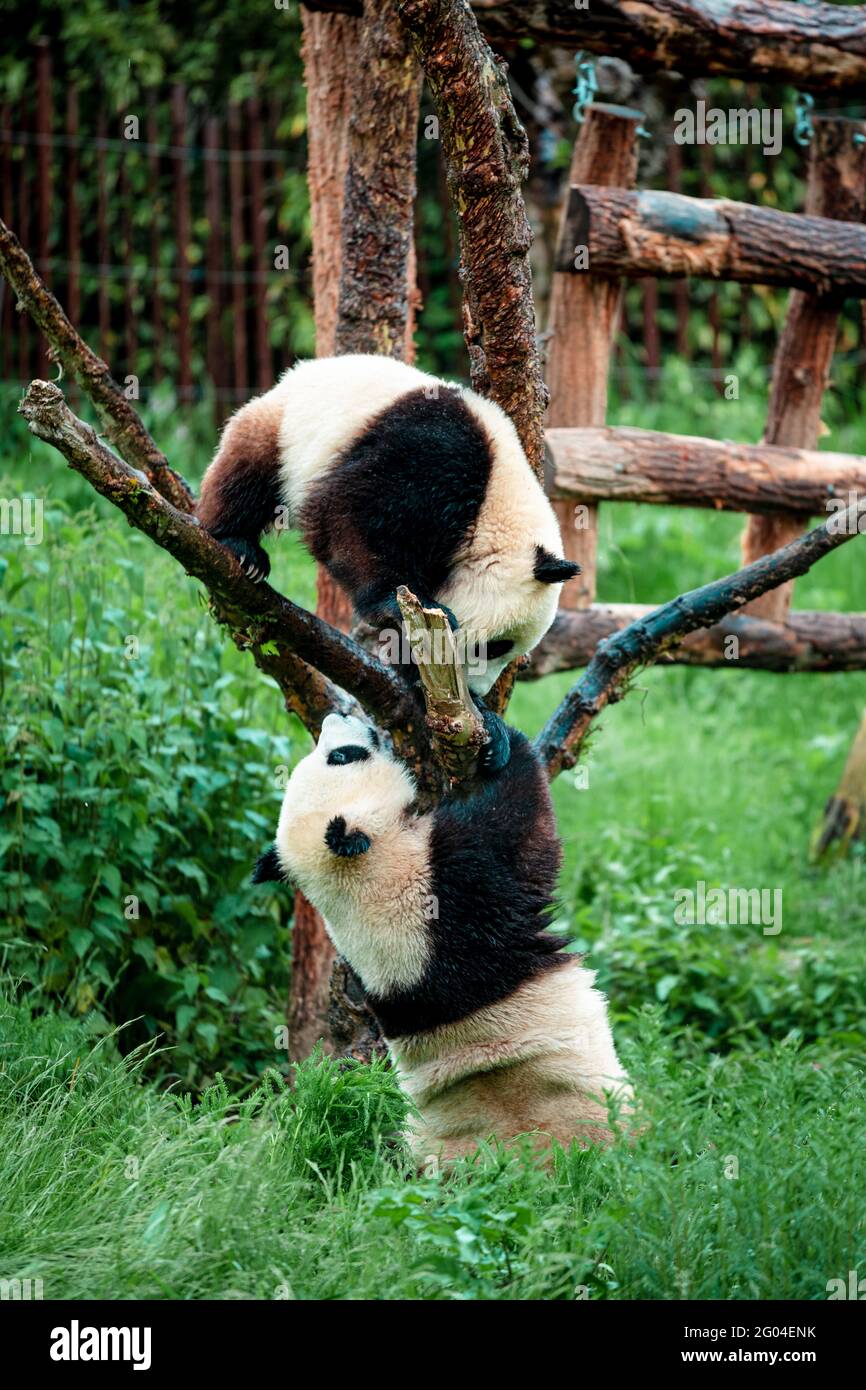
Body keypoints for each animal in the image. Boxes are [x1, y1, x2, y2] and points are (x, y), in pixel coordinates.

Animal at [197, 354, 578, 698]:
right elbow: (347, 513)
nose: (477, 692)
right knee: (248, 475)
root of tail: (292, 374)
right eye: (497, 646)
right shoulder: (437, 457)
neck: (493, 507)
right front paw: (394, 605)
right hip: (284, 431)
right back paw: (239, 547)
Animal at [253, 711, 629, 1164]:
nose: (335, 714)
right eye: (344, 756)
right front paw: (498, 739)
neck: (357, 886)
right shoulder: (455, 886)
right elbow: (525, 827)